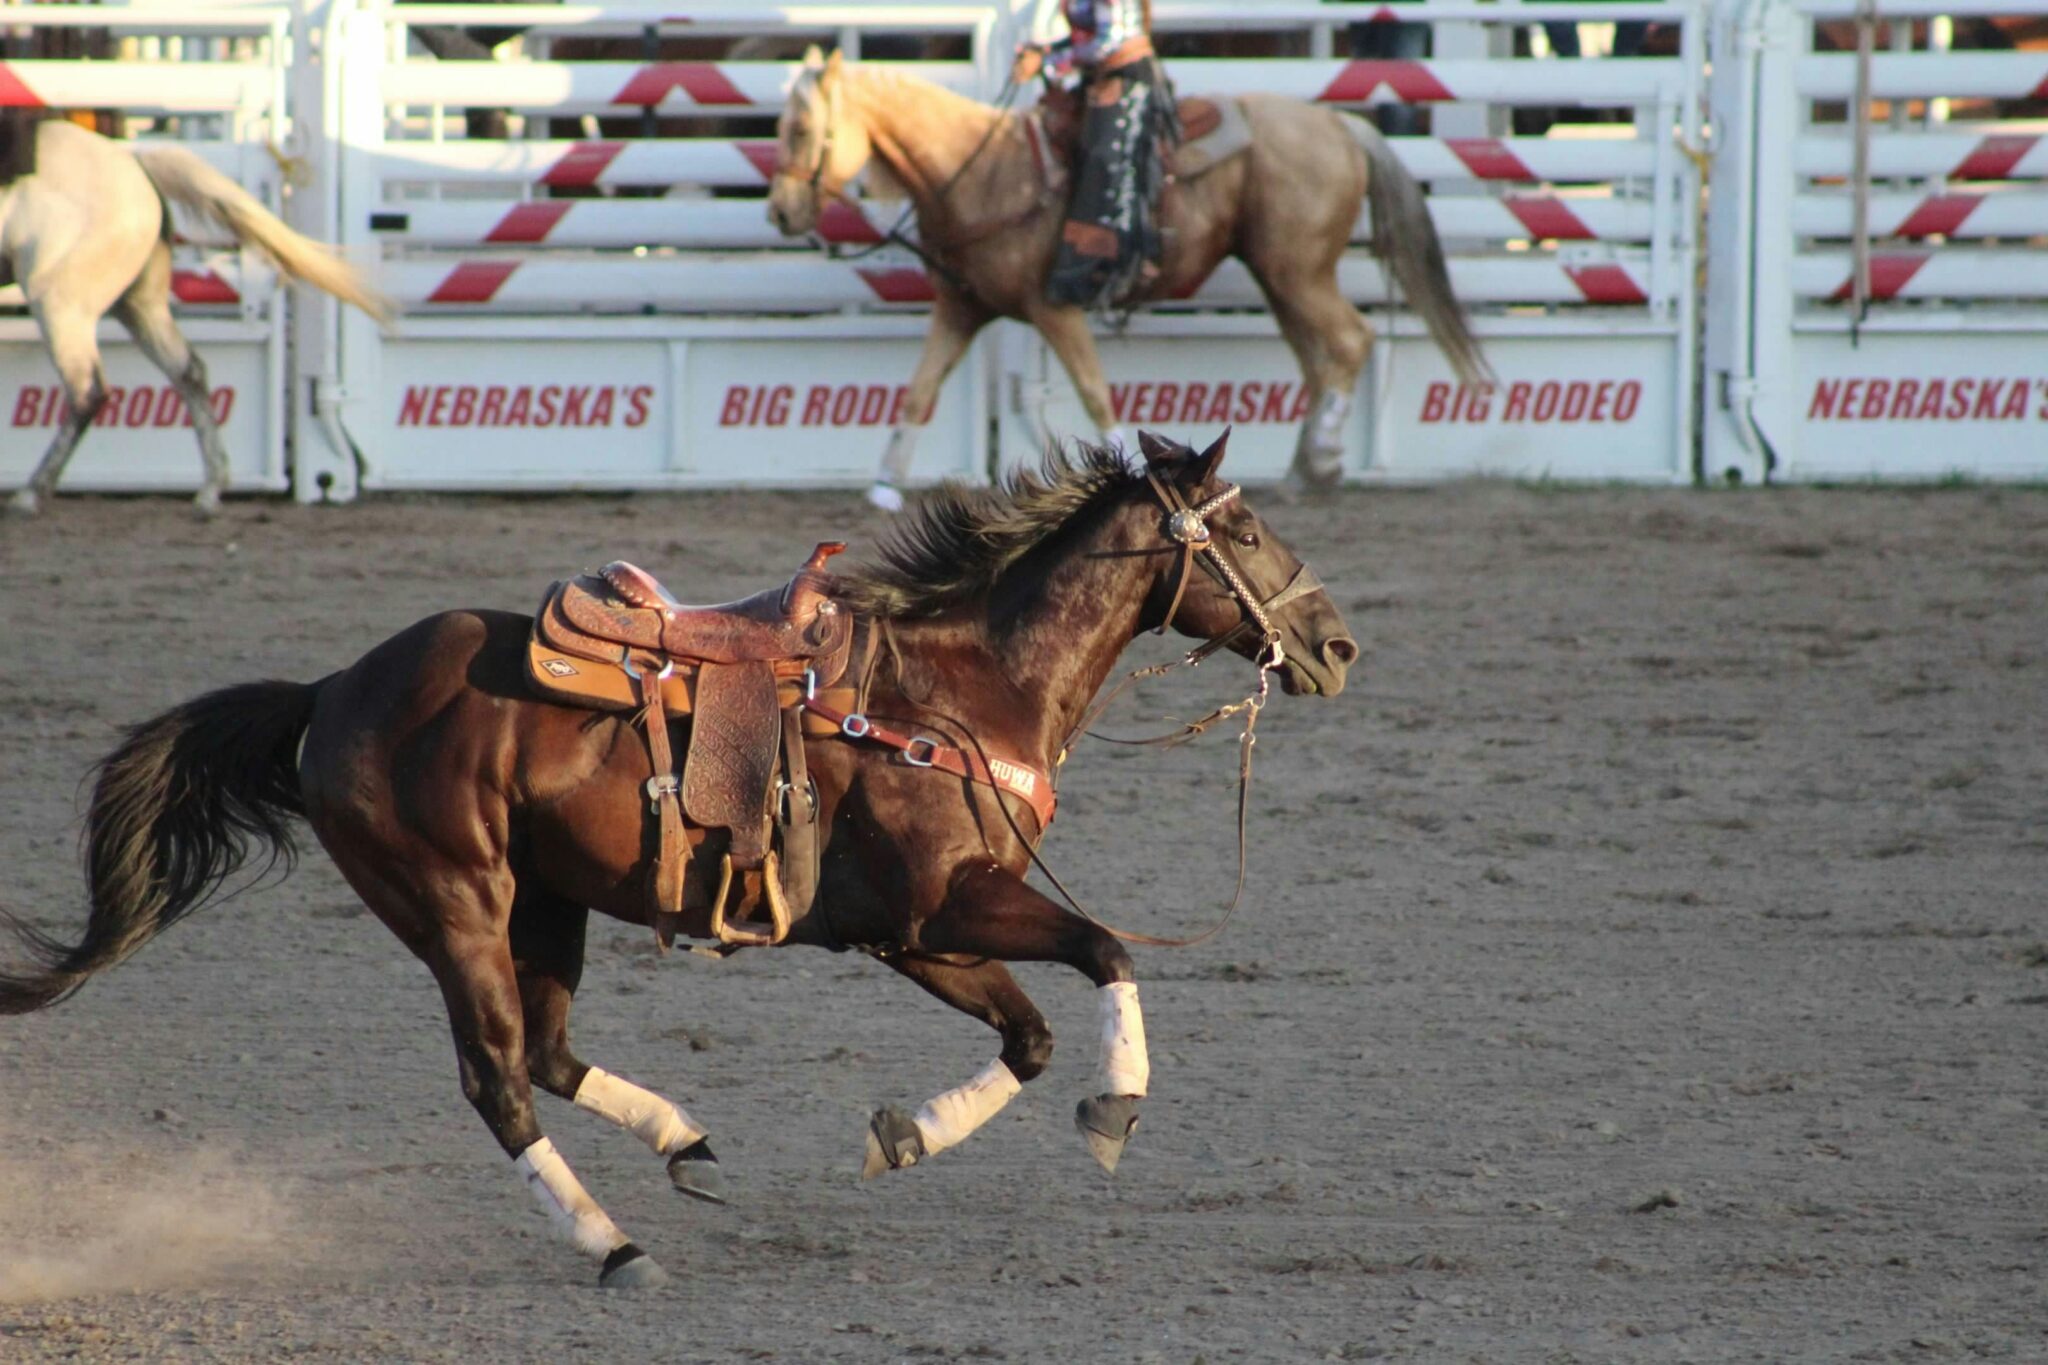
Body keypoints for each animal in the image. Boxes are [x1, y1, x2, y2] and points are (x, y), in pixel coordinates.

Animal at [0, 120, 391, 517]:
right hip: (138, 307)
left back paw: (31, 493)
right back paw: (210, 488)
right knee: (188, 370)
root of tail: (132, 161)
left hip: (60, 304)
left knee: (87, 392)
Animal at [0, 430, 1356, 1289]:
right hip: (453, 906)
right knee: (498, 1080)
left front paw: (903, 1137)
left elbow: (1023, 1036)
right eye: (1241, 526)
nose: (1336, 645)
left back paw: (686, 1147)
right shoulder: (942, 906)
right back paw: (612, 1247)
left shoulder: (906, 931)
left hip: (548, 906)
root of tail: (333, 692)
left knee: (546, 1055)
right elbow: (1107, 950)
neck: (957, 689)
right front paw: (1115, 1107)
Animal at [767, 49, 1489, 509]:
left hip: (1298, 270)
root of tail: (1342, 124)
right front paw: (884, 486)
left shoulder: (1054, 308)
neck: (981, 170)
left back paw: (1322, 463)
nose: (780, 212)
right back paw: (1303, 466)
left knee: (1347, 342)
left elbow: (1093, 392)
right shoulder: (961, 309)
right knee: (1318, 356)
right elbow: (919, 393)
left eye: (800, 129)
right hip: (1282, 275)